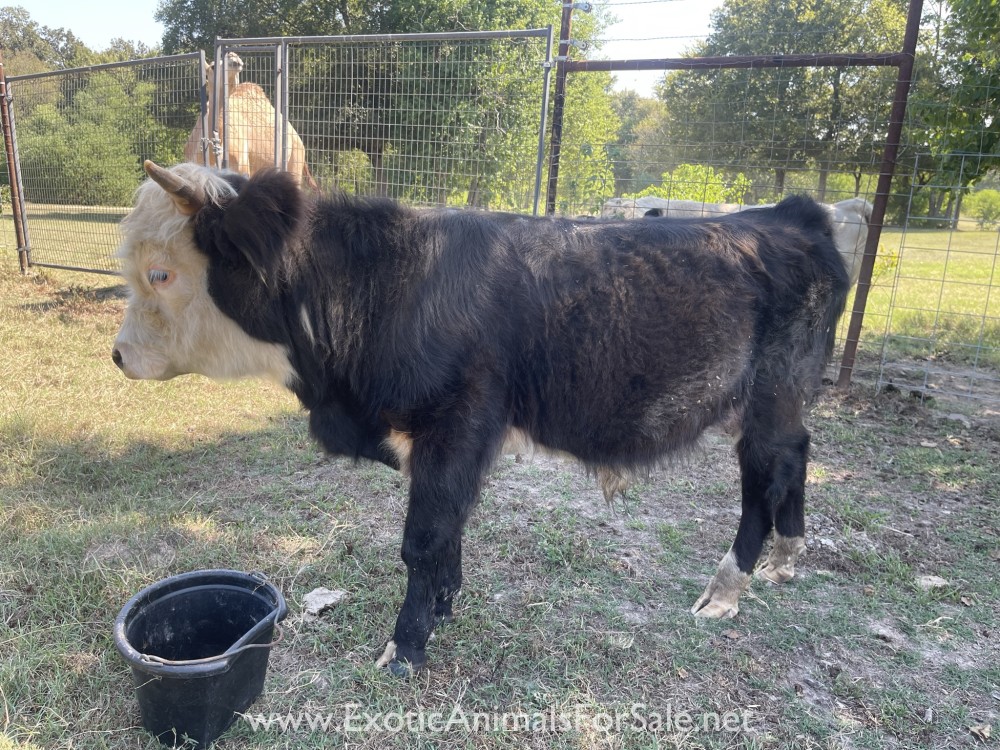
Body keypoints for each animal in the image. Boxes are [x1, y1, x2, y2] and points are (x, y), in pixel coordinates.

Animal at [113, 161, 849, 677]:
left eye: (160, 274)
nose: (119, 355)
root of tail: (793, 215)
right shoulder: (443, 444)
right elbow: (449, 531)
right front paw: (443, 606)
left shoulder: (457, 422)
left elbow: (423, 538)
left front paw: (406, 647)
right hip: (779, 402)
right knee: (795, 457)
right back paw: (785, 558)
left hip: (769, 394)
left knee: (763, 479)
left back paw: (728, 587)